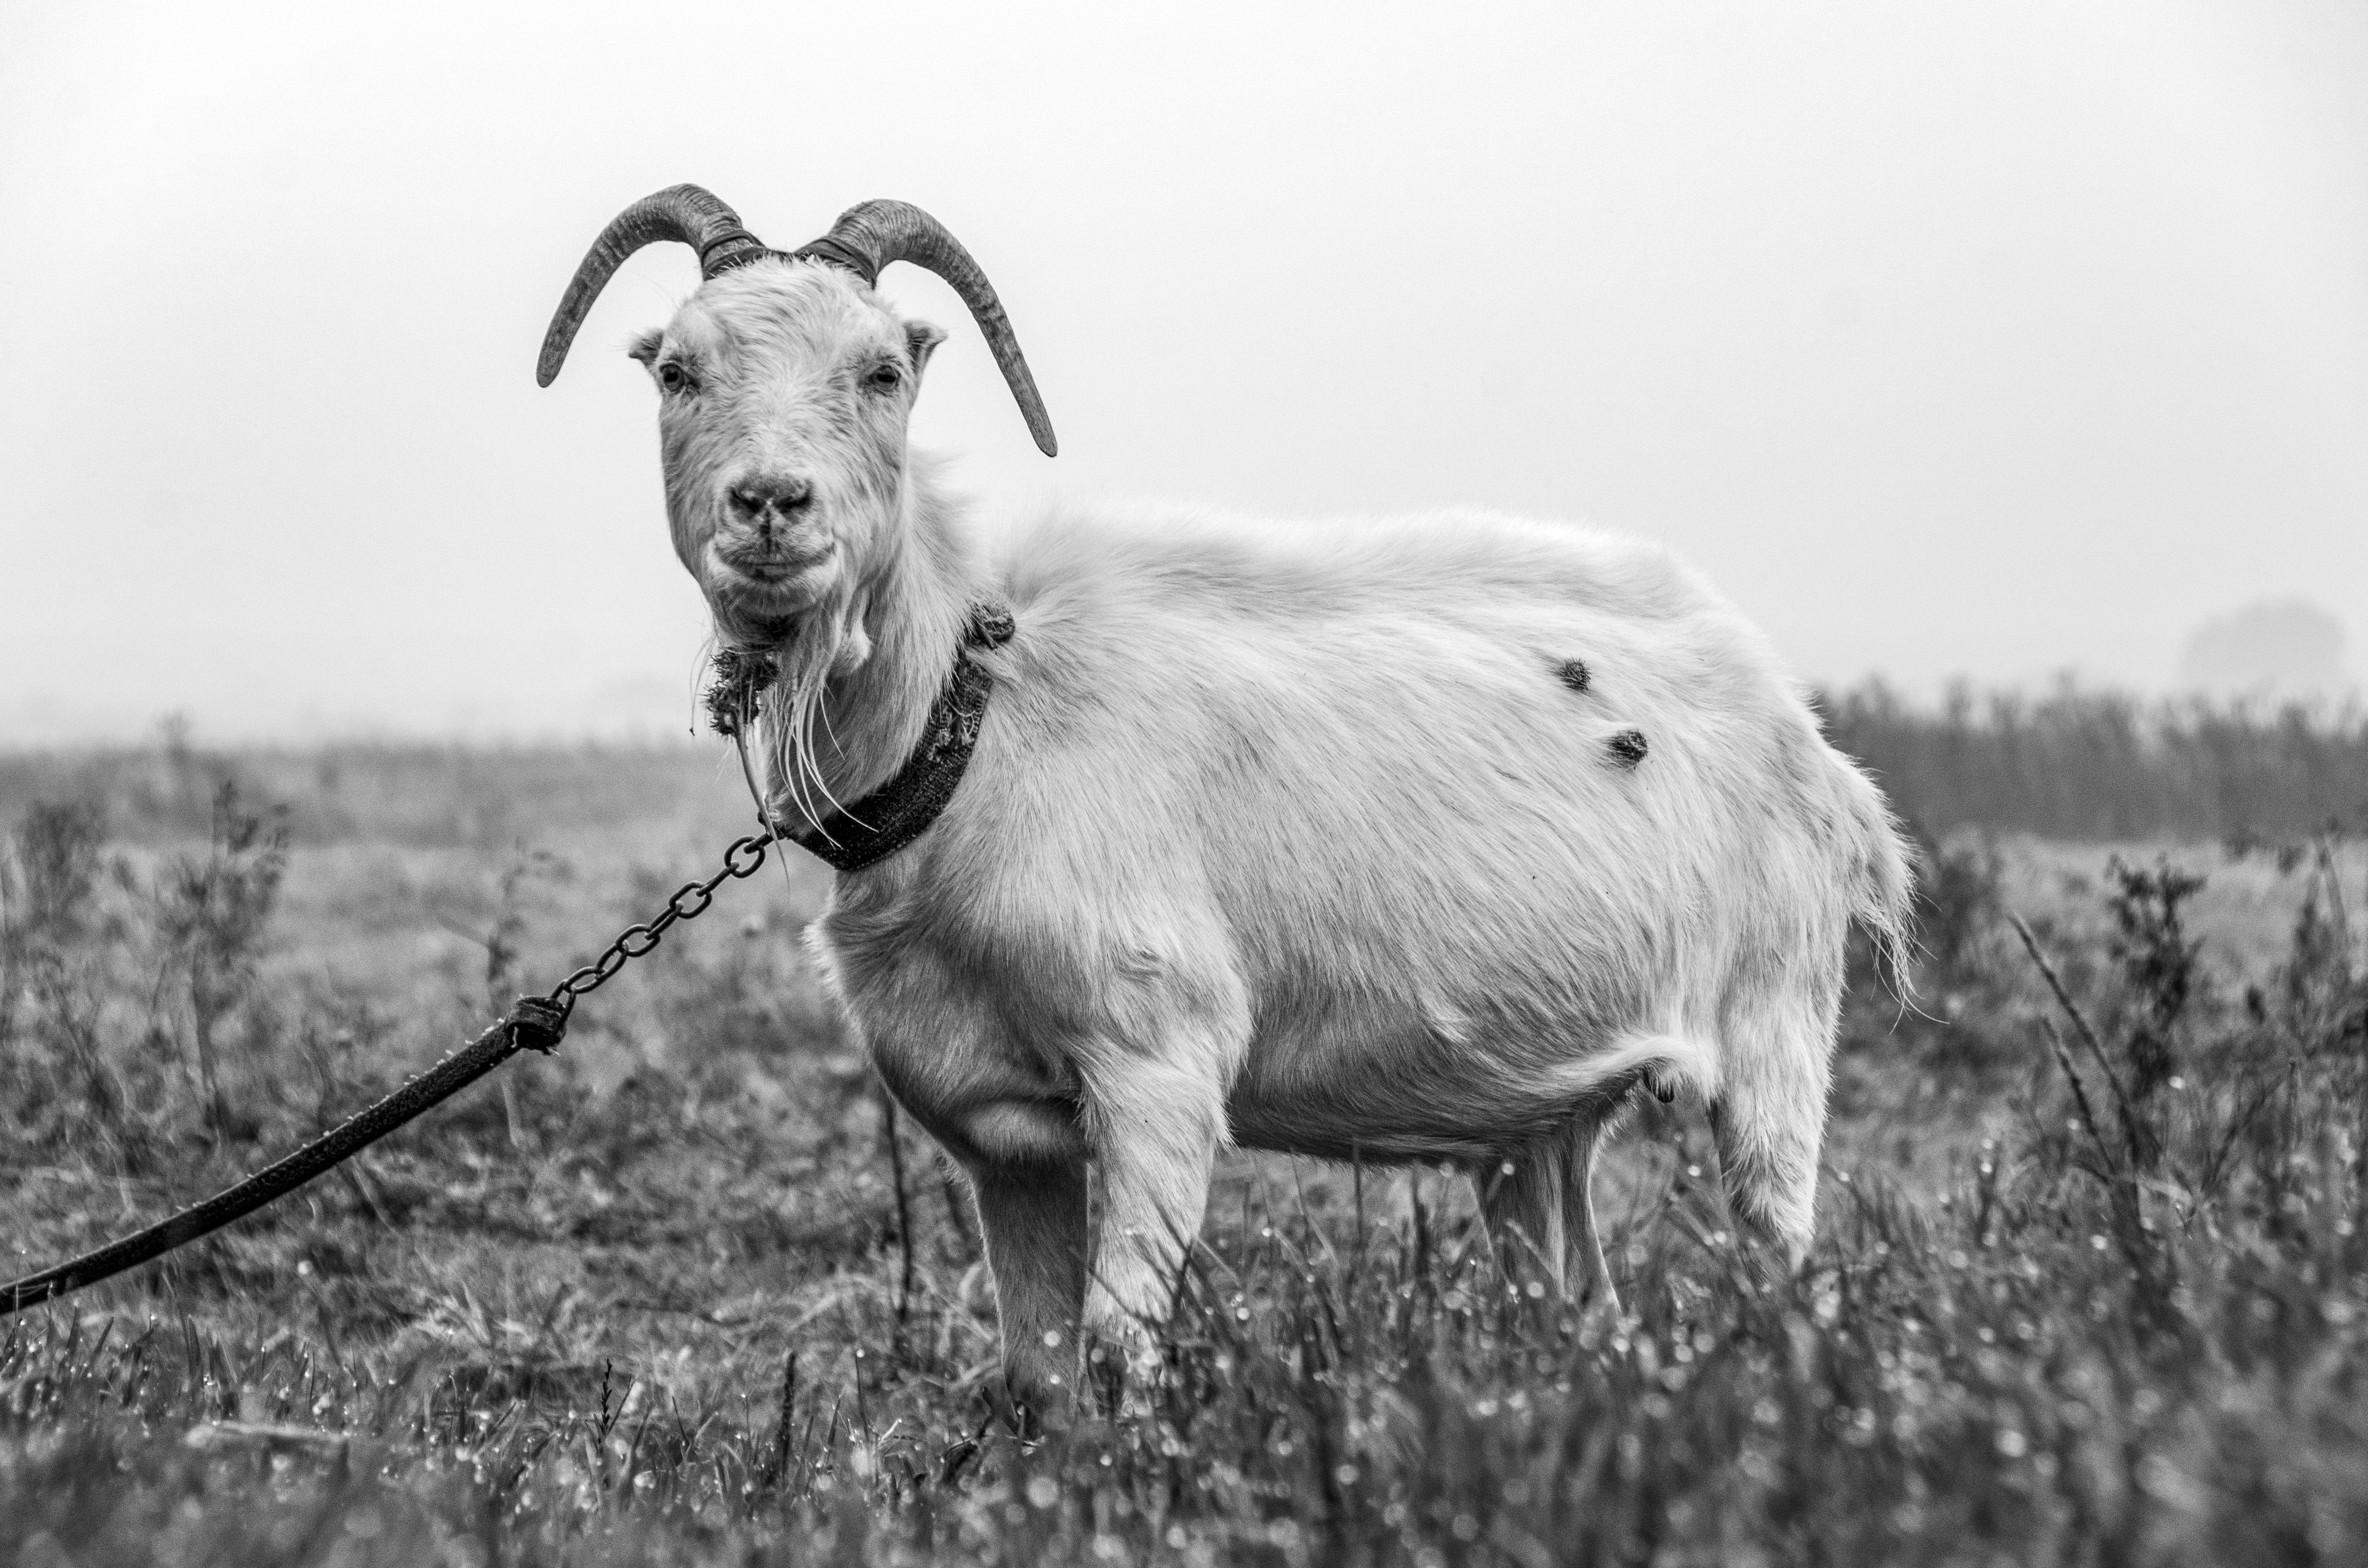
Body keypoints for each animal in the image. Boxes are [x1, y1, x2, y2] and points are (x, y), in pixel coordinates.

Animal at [538, 186, 1914, 1425]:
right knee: (1579, 1301)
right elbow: (1037, 1379)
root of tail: (1820, 754)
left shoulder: (1160, 1065)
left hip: (1777, 1022)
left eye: (882, 371)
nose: (772, 506)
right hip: (1545, 1117)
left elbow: (1113, 1351)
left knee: (1780, 1256)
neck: (977, 722)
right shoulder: (999, 1132)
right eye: (676, 371)